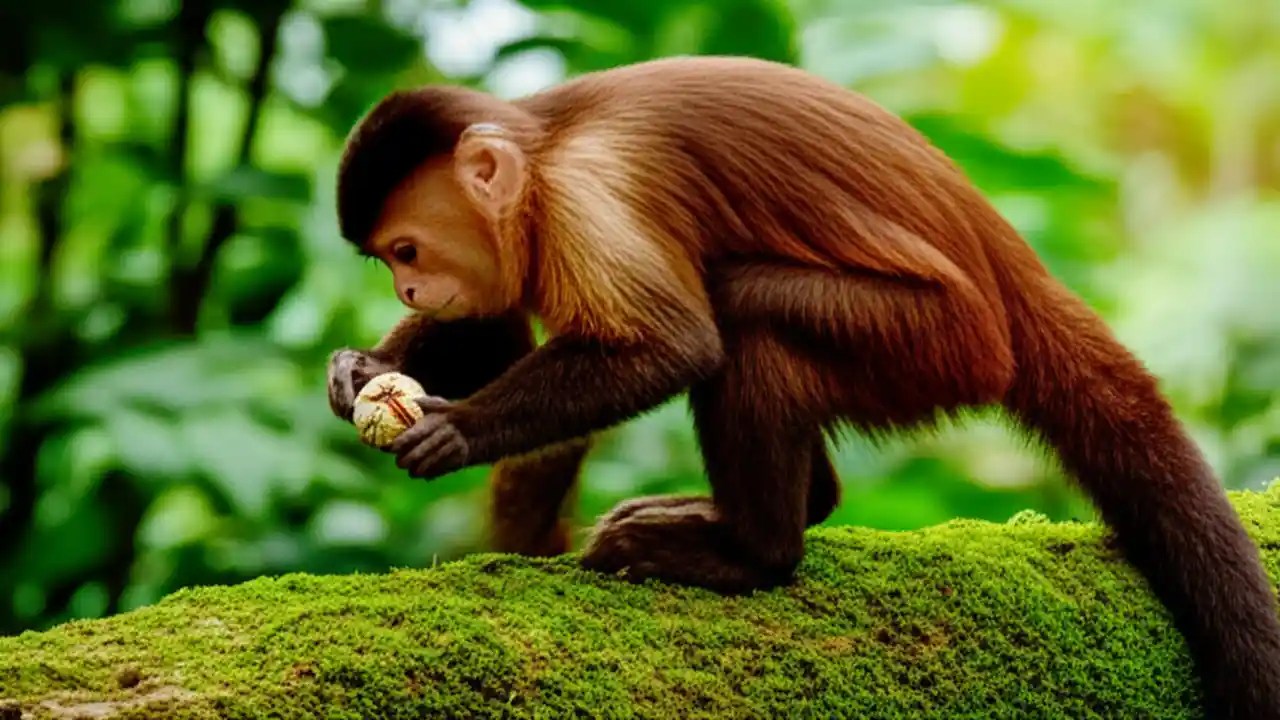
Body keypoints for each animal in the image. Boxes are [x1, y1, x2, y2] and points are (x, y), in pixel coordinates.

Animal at [325, 56, 1280, 717]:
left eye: (406, 252)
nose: (408, 292)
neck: (544, 147)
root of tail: (1011, 276)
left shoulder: (584, 200)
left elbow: (673, 345)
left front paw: (461, 428)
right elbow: (489, 325)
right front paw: (363, 371)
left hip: (933, 345)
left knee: (742, 317)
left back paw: (754, 554)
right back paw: (786, 509)